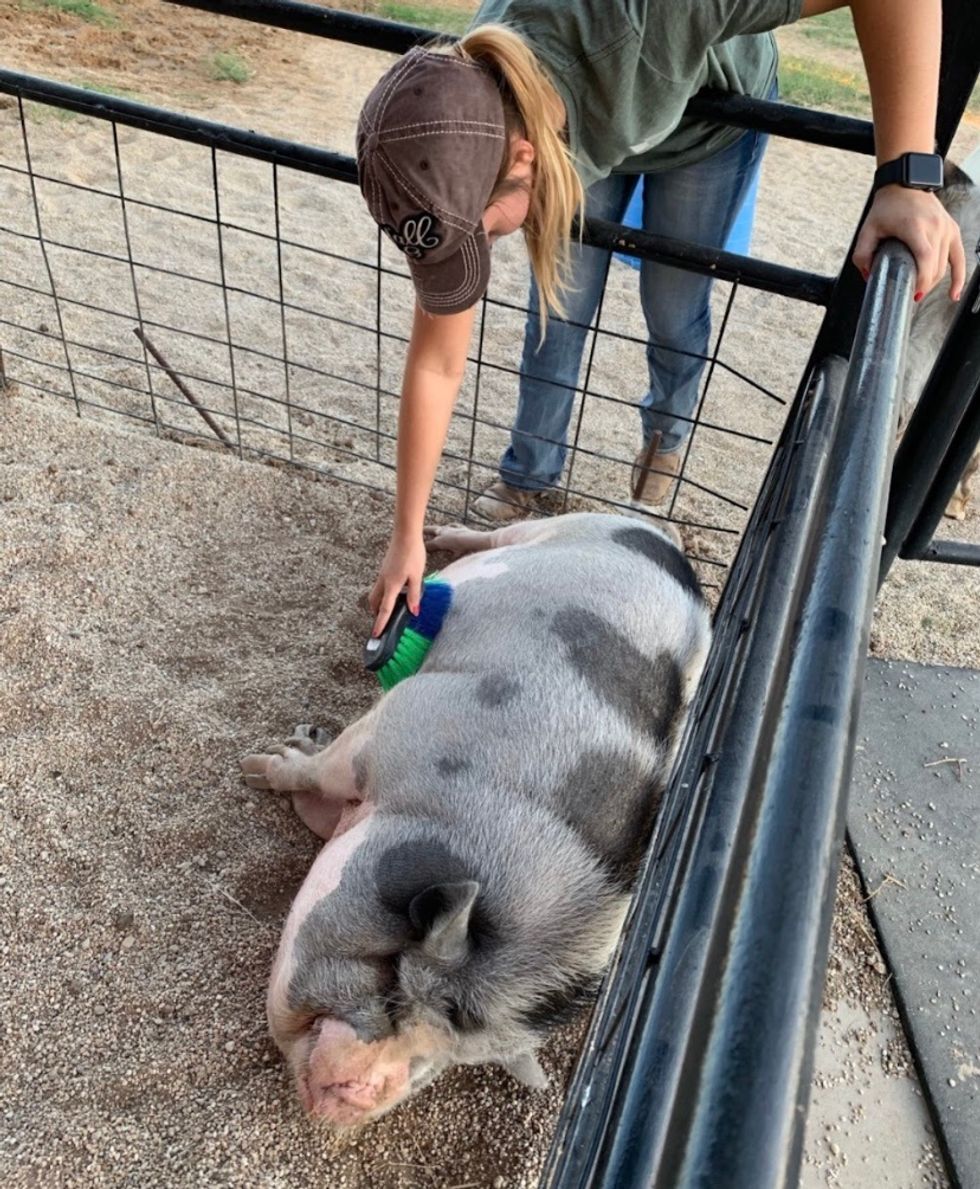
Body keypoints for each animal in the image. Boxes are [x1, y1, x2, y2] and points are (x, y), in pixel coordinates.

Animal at [241, 512, 710, 1128]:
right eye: (394, 992)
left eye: (445, 1060)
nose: (363, 1099)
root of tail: (671, 545)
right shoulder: (392, 726)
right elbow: (311, 774)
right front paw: (257, 766)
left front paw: (293, 746)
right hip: (565, 525)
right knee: (498, 535)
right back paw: (432, 547)